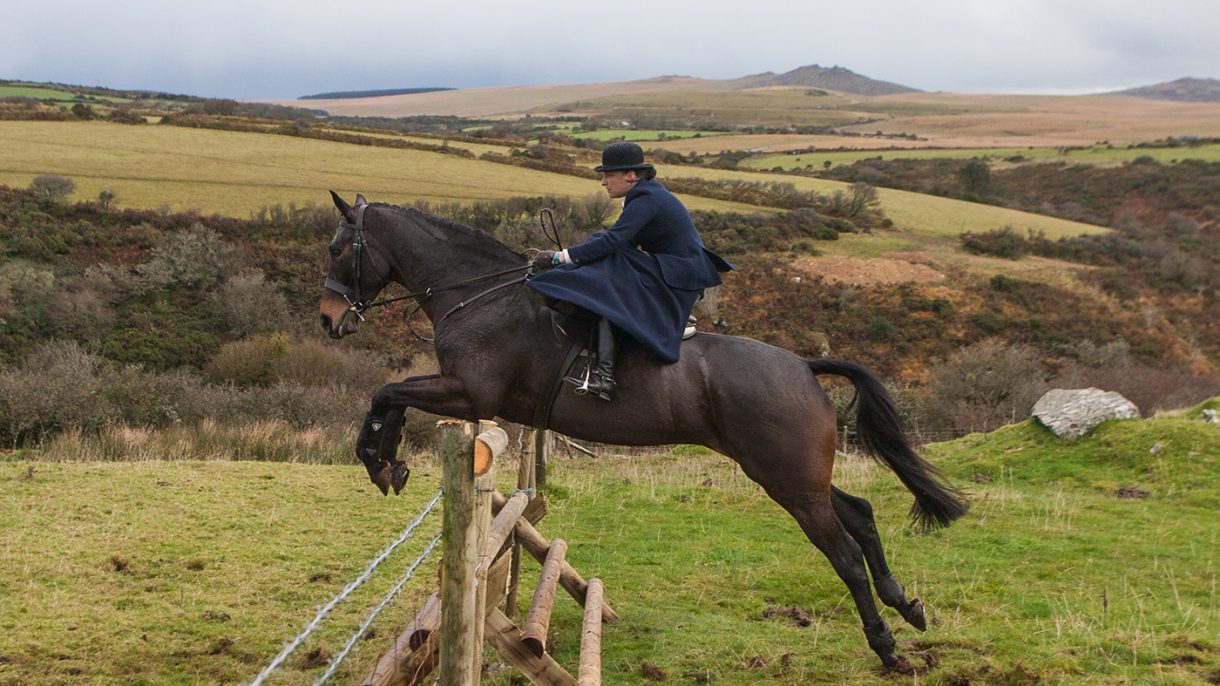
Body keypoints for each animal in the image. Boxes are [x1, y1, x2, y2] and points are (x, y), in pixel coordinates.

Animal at [317, 192, 967, 673]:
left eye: (338, 248)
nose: (329, 321)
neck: (478, 295)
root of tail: (804, 366)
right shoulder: (466, 394)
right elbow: (390, 395)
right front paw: (389, 462)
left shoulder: (472, 393)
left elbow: (387, 392)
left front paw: (380, 460)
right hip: (792, 471)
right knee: (859, 514)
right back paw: (906, 605)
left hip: (787, 478)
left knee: (843, 553)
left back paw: (888, 648)